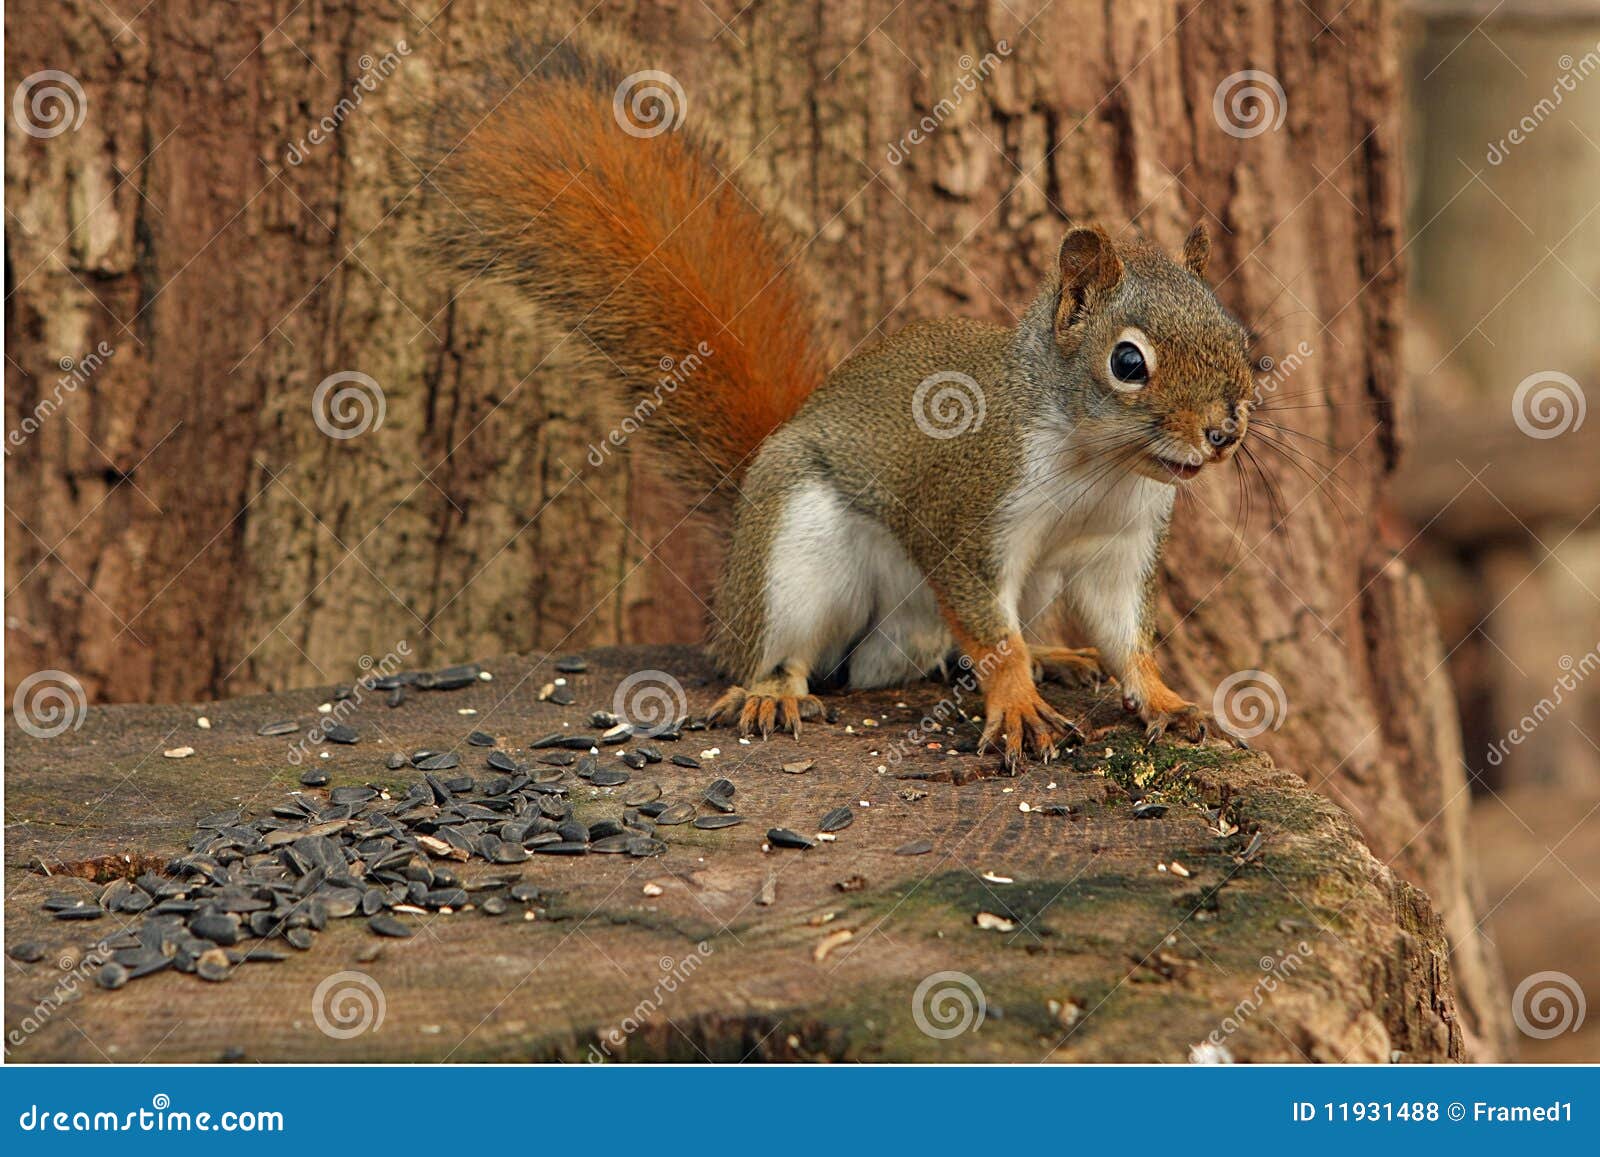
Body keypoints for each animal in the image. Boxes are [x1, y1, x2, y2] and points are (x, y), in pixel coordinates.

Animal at [415, 34, 1256, 765]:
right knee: (783, 650)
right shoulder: (967, 513)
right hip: (796, 555)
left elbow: (1128, 637)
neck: (1100, 467)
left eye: (1242, 337)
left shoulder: (1120, 546)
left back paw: (1051, 651)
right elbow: (994, 636)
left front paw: (1165, 700)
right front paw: (1018, 706)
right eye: (1127, 361)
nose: (1225, 430)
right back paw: (774, 690)